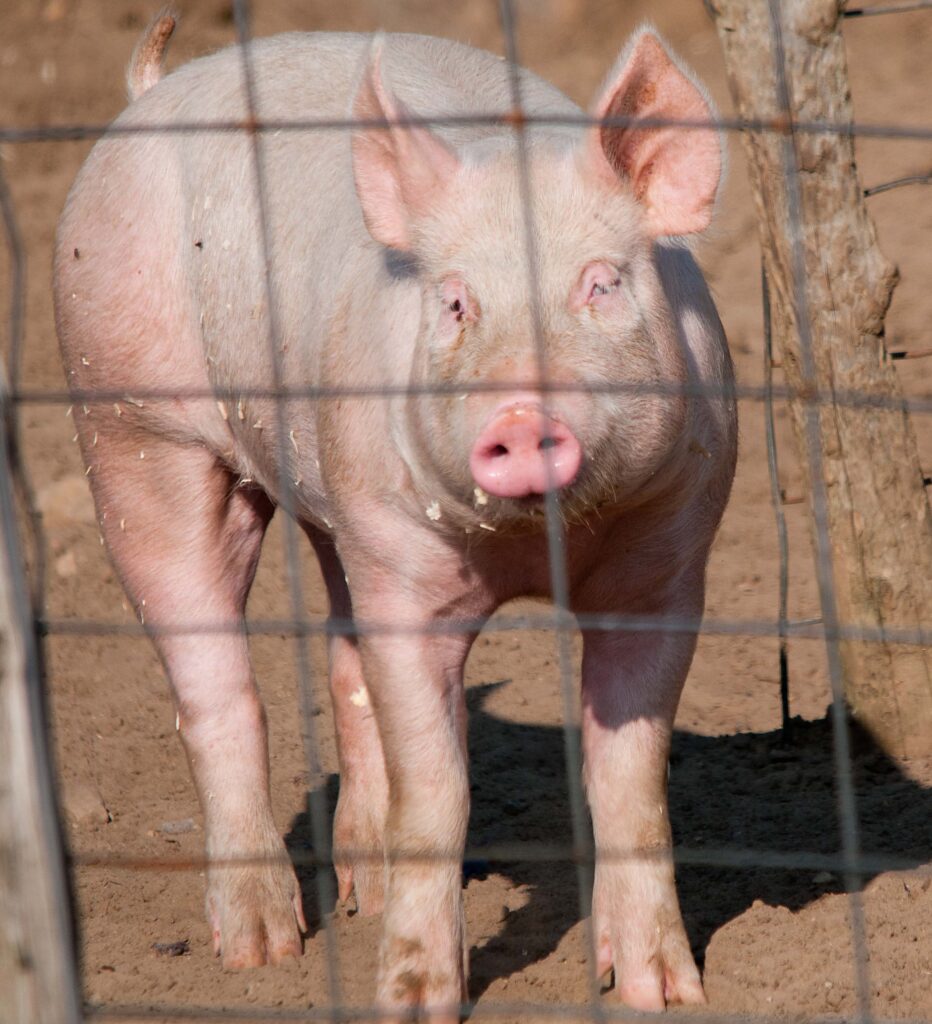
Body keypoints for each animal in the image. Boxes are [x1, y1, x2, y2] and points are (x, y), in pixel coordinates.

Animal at [54, 12, 736, 1021]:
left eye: (601, 284)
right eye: (454, 302)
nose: (519, 414)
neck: (531, 548)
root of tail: (150, 92)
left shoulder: (667, 561)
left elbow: (629, 782)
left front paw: (661, 991)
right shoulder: (404, 566)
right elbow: (437, 789)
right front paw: (414, 1001)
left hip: (333, 496)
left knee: (346, 661)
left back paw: (359, 893)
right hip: (129, 422)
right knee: (214, 677)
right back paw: (262, 949)